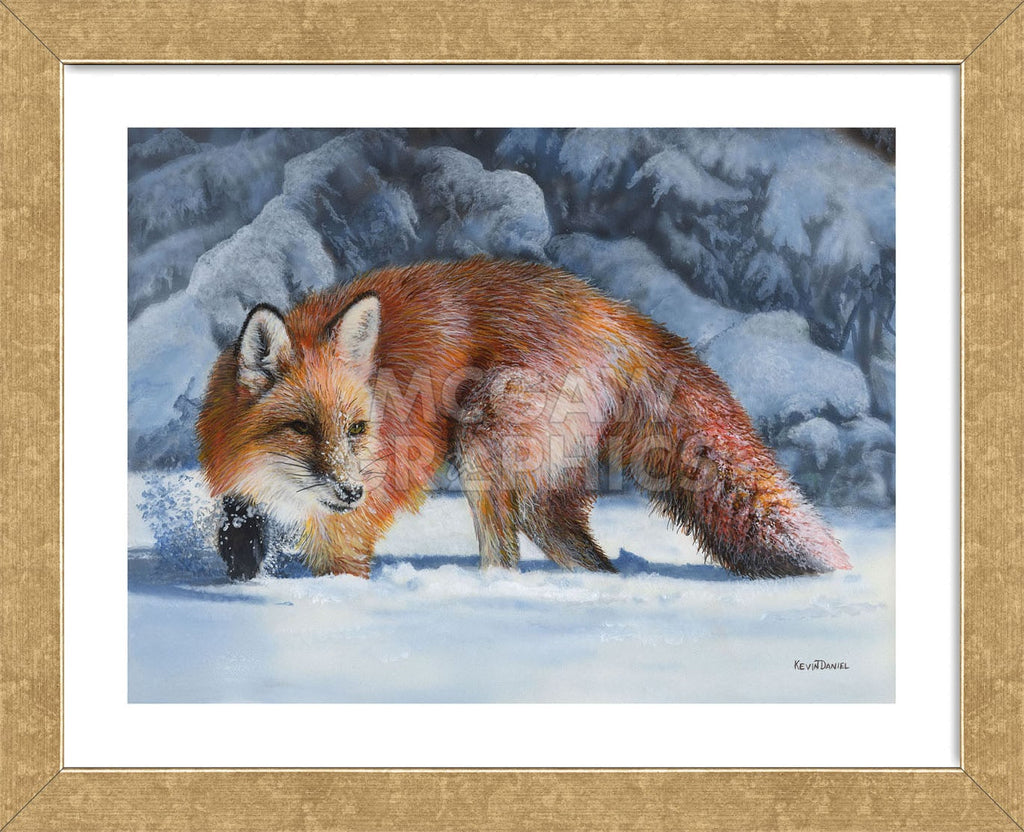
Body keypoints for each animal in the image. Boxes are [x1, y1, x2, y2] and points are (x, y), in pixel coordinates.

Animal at [197, 257, 851, 581]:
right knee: (593, 560)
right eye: (303, 429)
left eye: (357, 430)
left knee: (509, 557)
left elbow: (338, 568)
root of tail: (612, 311)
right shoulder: (240, 492)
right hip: (534, 488)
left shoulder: (354, 522)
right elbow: (237, 533)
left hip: (485, 450)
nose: (353, 490)